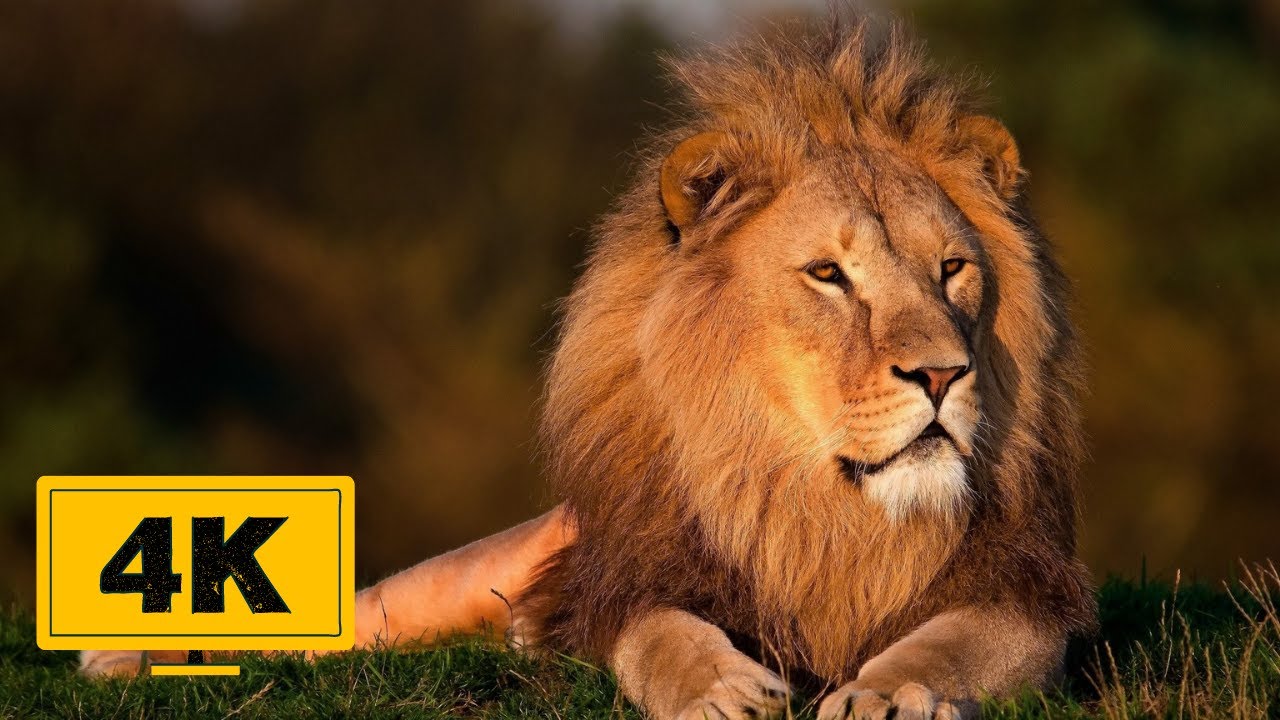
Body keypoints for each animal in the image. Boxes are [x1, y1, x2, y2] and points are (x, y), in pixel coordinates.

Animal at [81, 18, 1096, 720]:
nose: (943, 376)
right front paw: (721, 688)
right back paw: (114, 658)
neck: (818, 508)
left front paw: (890, 691)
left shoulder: (1026, 593)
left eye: (952, 269)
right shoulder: (632, 583)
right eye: (828, 275)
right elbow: (660, 636)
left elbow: (954, 643)